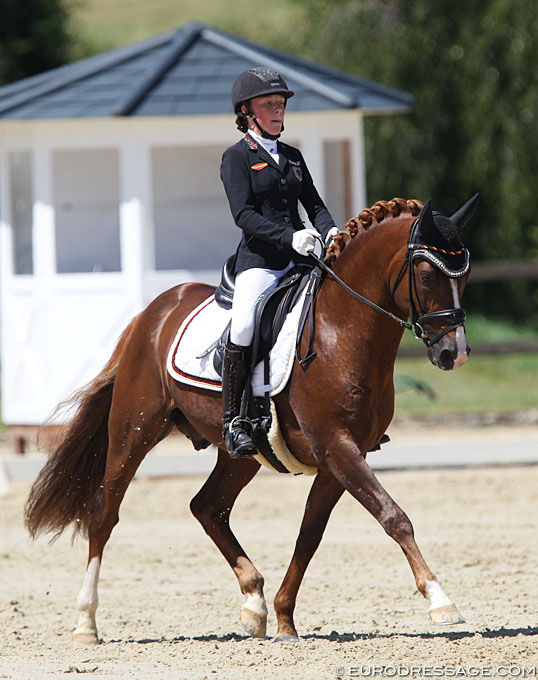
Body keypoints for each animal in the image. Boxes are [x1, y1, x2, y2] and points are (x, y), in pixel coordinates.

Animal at [24, 194, 479, 645]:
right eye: (426, 276)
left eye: (465, 277)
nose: (453, 355)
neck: (341, 330)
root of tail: (153, 311)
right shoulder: (336, 446)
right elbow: (393, 516)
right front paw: (440, 601)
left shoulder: (342, 458)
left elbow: (309, 535)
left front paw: (284, 620)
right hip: (133, 430)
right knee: (105, 511)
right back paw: (86, 622)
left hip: (240, 453)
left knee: (208, 506)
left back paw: (253, 603)